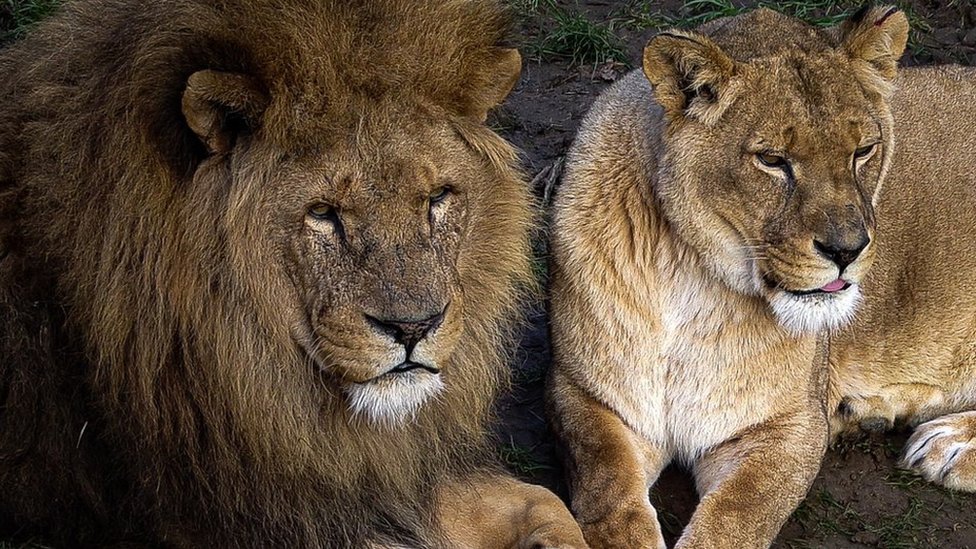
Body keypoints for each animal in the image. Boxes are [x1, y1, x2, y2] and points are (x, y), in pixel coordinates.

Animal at [544, 6, 972, 548]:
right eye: (772, 160)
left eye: (863, 151)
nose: (846, 250)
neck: (693, 276)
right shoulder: (585, 394)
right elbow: (607, 486)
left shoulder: (791, 425)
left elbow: (734, 517)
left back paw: (950, 443)